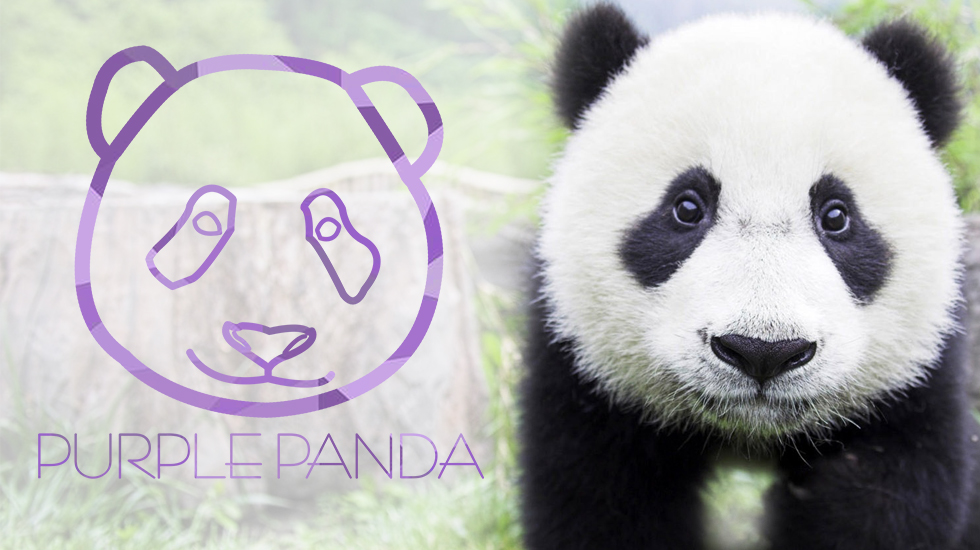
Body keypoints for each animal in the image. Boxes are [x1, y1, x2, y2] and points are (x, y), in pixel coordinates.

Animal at [519, 4, 980, 550]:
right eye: (687, 207)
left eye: (836, 215)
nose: (763, 351)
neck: (749, 432)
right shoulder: (587, 374)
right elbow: (598, 503)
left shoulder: (915, 379)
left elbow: (888, 502)